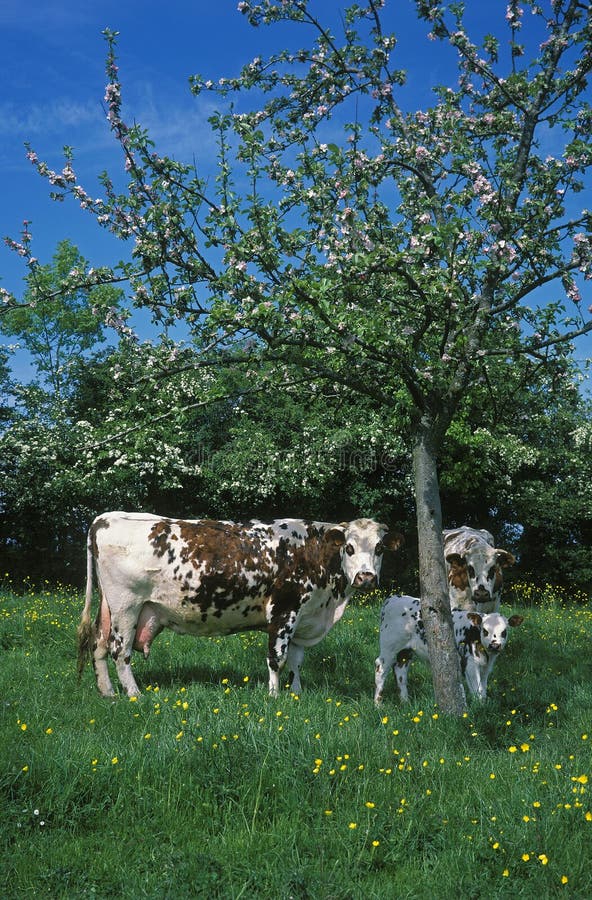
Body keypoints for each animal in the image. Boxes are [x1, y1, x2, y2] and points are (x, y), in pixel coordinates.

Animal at [77, 512, 404, 698]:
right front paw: (274, 698)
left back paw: (108, 693)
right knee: (120, 651)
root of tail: (106, 518)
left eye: (379, 548)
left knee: (99, 646)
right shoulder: (284, 611)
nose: (365, 577)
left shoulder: (304, 617)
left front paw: (297, 694)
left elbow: (296, 661)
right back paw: (134, 694)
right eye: (349, 547)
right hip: (127, 605)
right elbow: (278, 659)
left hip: (109, 608)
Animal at [374, 594, 523, 704]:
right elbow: (478, 690)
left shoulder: (486, 666)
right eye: (485, 630)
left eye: (504, 631)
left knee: (401, 673)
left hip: (405, 652)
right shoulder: (470, 663)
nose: (494, 645)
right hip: (389, 648)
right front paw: (479, 707)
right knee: (380, 669)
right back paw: (378, 704)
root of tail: (392, 598)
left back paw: (406, 702)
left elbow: (484, 689)